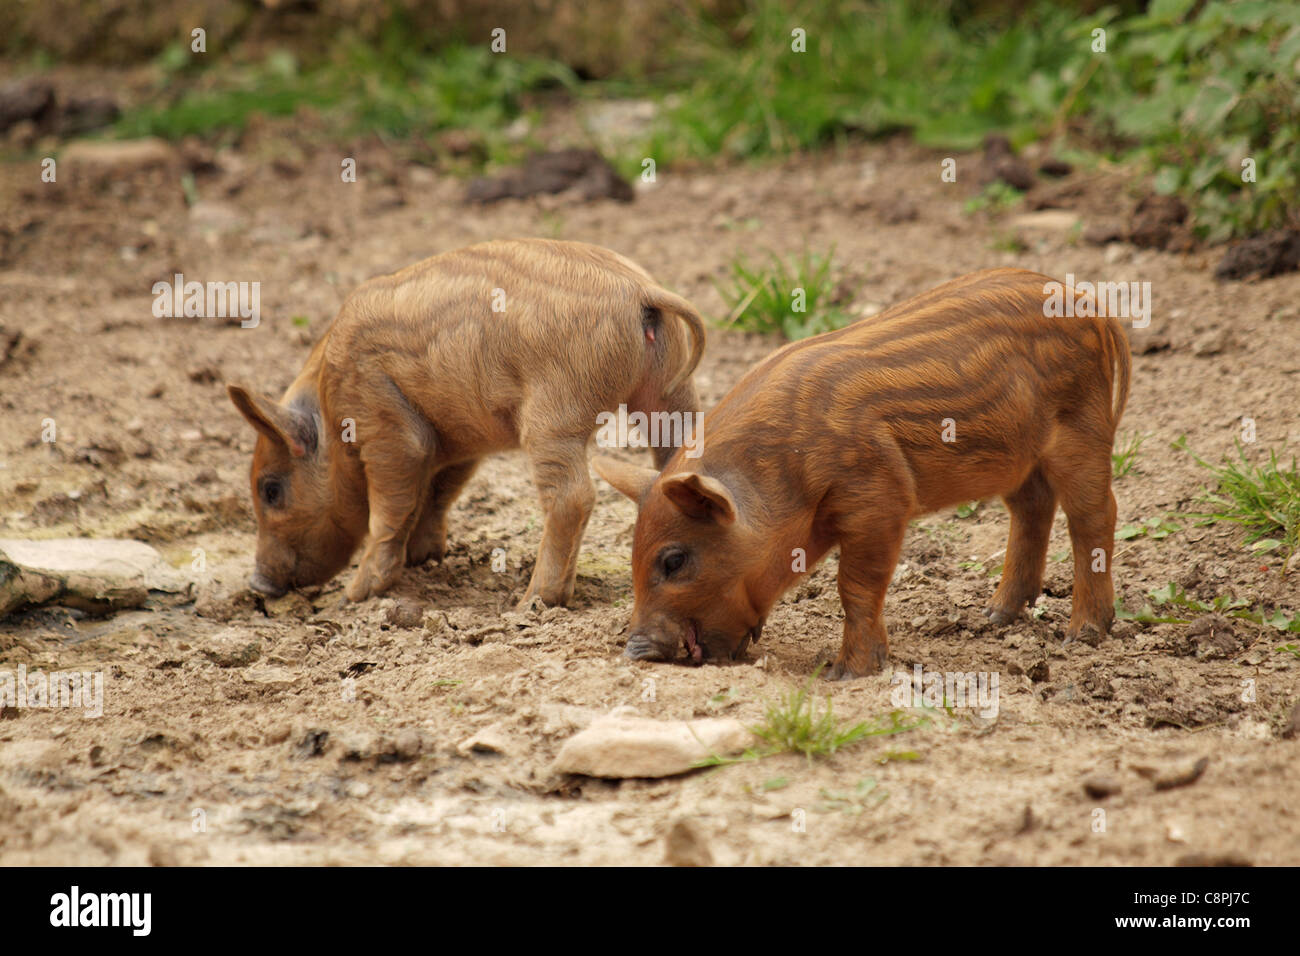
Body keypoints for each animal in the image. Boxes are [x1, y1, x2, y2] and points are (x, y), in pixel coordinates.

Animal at [227, 238, 704, 606]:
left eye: (270, 490)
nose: (258, 584)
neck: (329, 402)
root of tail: (639, 291)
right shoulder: (461, 444)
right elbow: (437, 495)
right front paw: (424, 558)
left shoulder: (387, 429)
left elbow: (389, 510)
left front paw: (350, 599)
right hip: (670, 392)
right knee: (677, 460)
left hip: (556, 411)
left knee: (573, 497)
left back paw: (530, 603)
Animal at [594, 268, 1131, 679]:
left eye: (673, 560)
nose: (634, 650)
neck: (783, 475)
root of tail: (1087, 302)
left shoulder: (881, 496)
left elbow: (853, 586)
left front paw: (844, 674)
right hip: (1022, 459)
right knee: (1033, 507)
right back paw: (994, 616)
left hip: (1083, 428)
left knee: (1095, 514)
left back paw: (1081, 636)